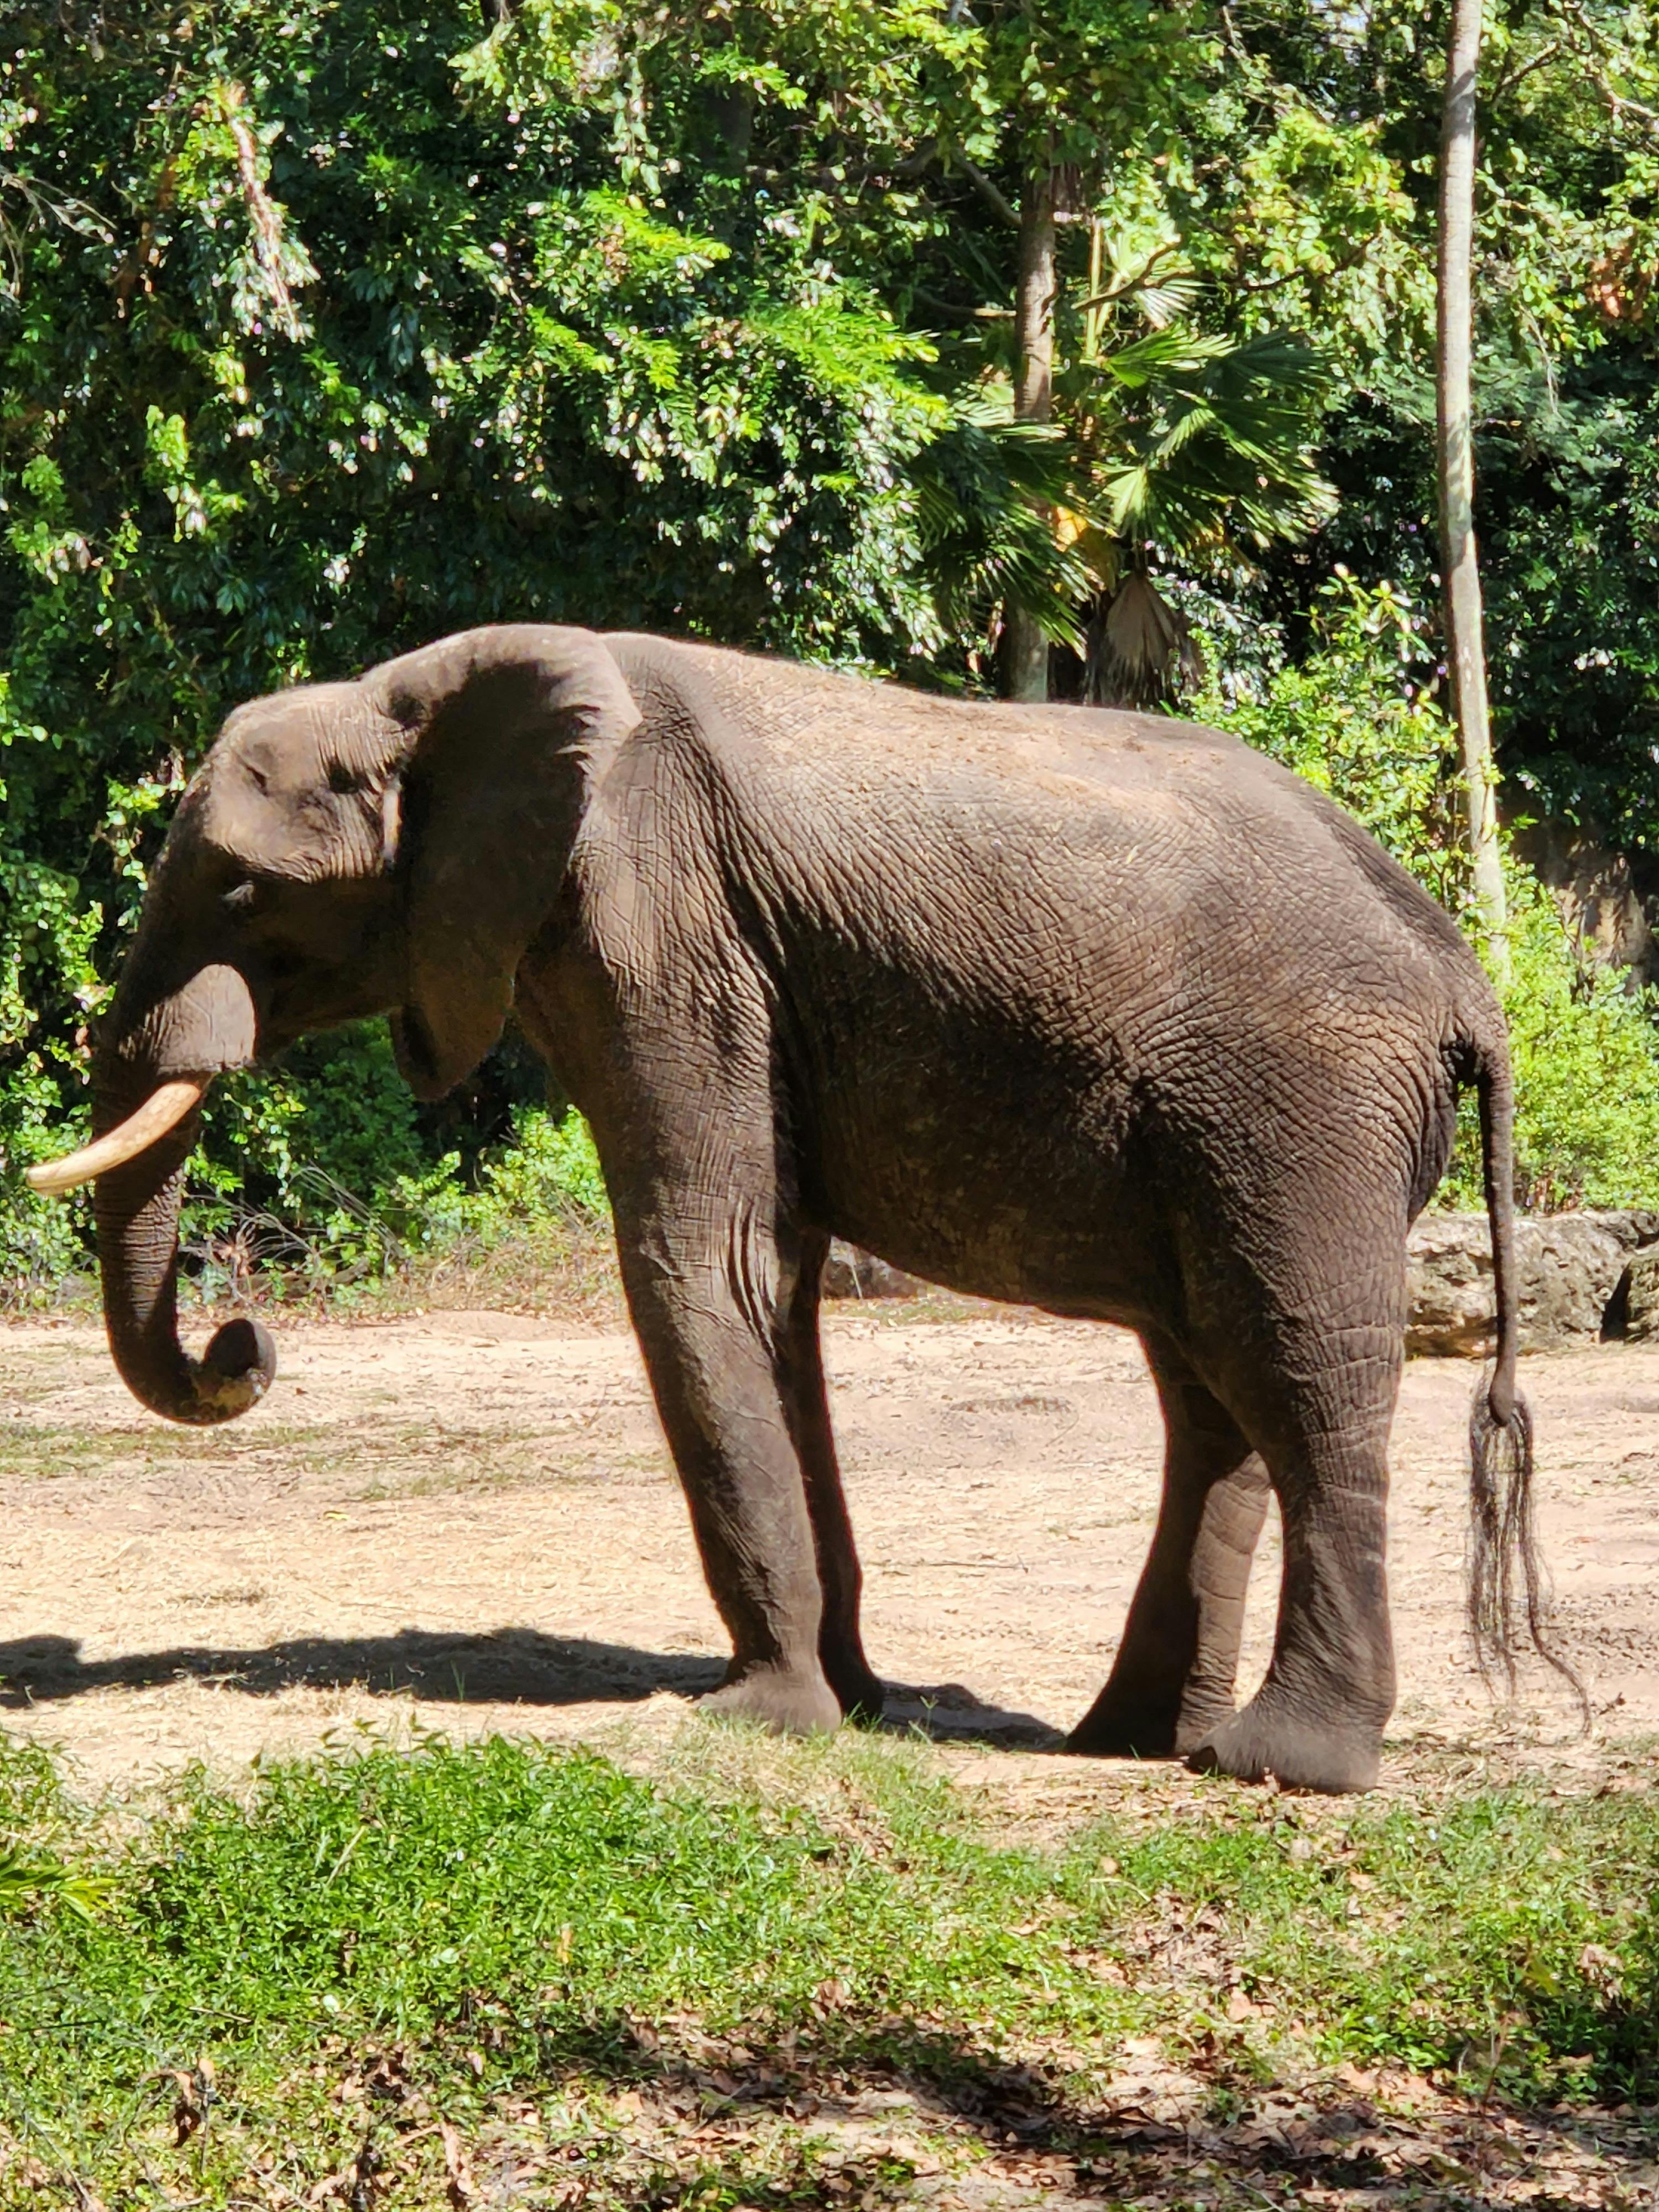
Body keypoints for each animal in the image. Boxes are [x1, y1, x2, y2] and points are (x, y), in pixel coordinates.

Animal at [29, 623, 1566, 1792]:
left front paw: (752, 1717)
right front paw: (853, 1704)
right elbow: (773, 1285)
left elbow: (699, 1258)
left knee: (1297, 1367)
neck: (420, 692)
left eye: (243, 890)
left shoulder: (657, 922)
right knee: (1211, 1387)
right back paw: (1121, 1742)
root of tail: (1466, 984)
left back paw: (1280, 1765)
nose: (243, 1342)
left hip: (1298, 1107)